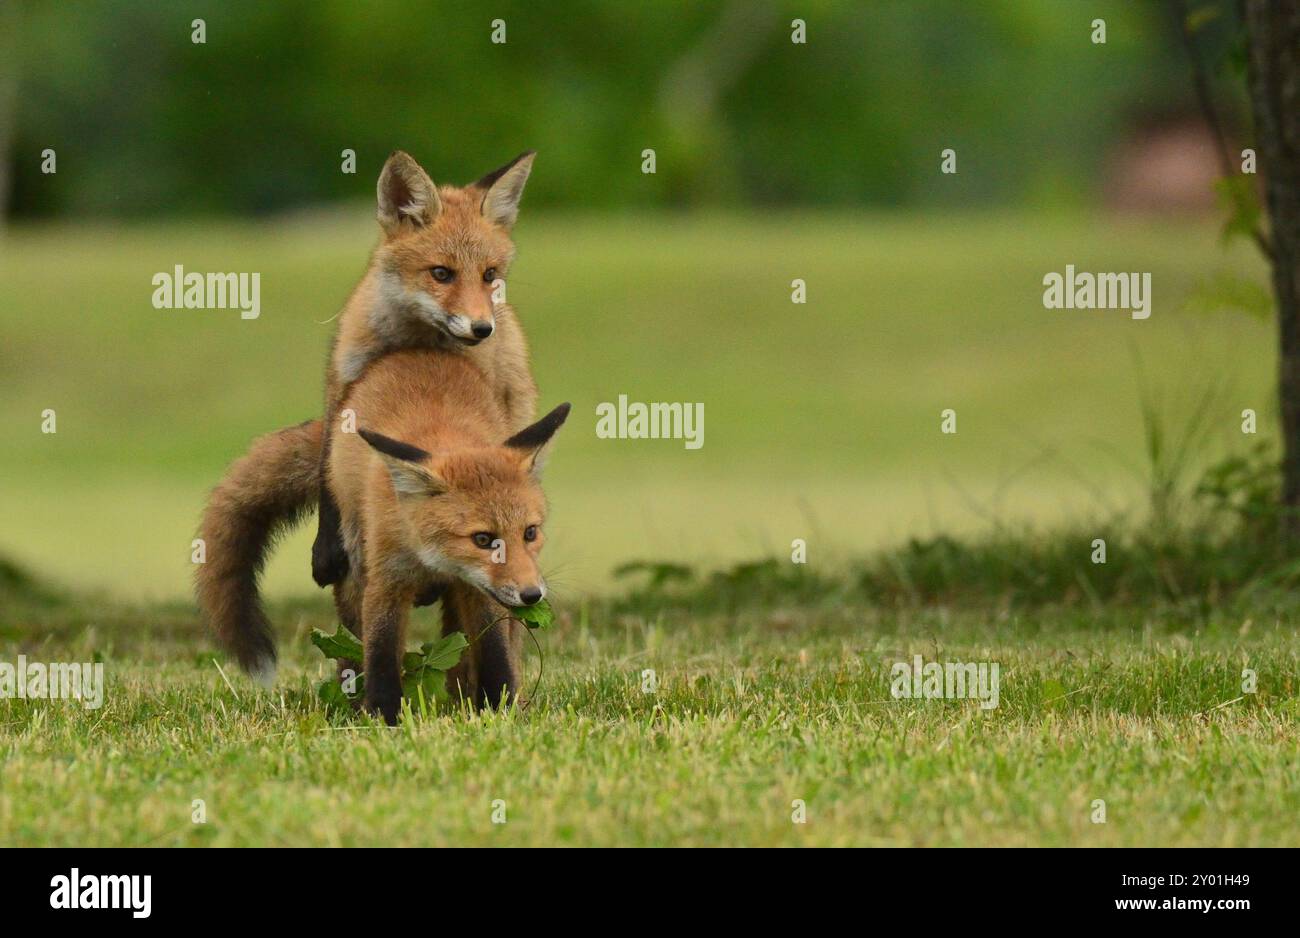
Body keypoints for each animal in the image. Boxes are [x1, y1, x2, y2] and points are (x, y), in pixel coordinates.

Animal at [196, 347, 570, 723]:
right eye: (482, 539)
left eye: (530, 532)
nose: (532, 595)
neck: (432, 559)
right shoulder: (386, 581)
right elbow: (381, 653)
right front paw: (384, 719)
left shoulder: (480, 593)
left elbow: (495, 653)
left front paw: (501, 709)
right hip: (351, 566)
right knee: (353, 643)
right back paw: (352, 702)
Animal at [311, 149, 540, 595]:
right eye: (441, 273)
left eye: (489, 275)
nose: (483, 328)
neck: (414, 339)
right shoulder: (342, 386)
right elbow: (327, 476)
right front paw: (326, 549)